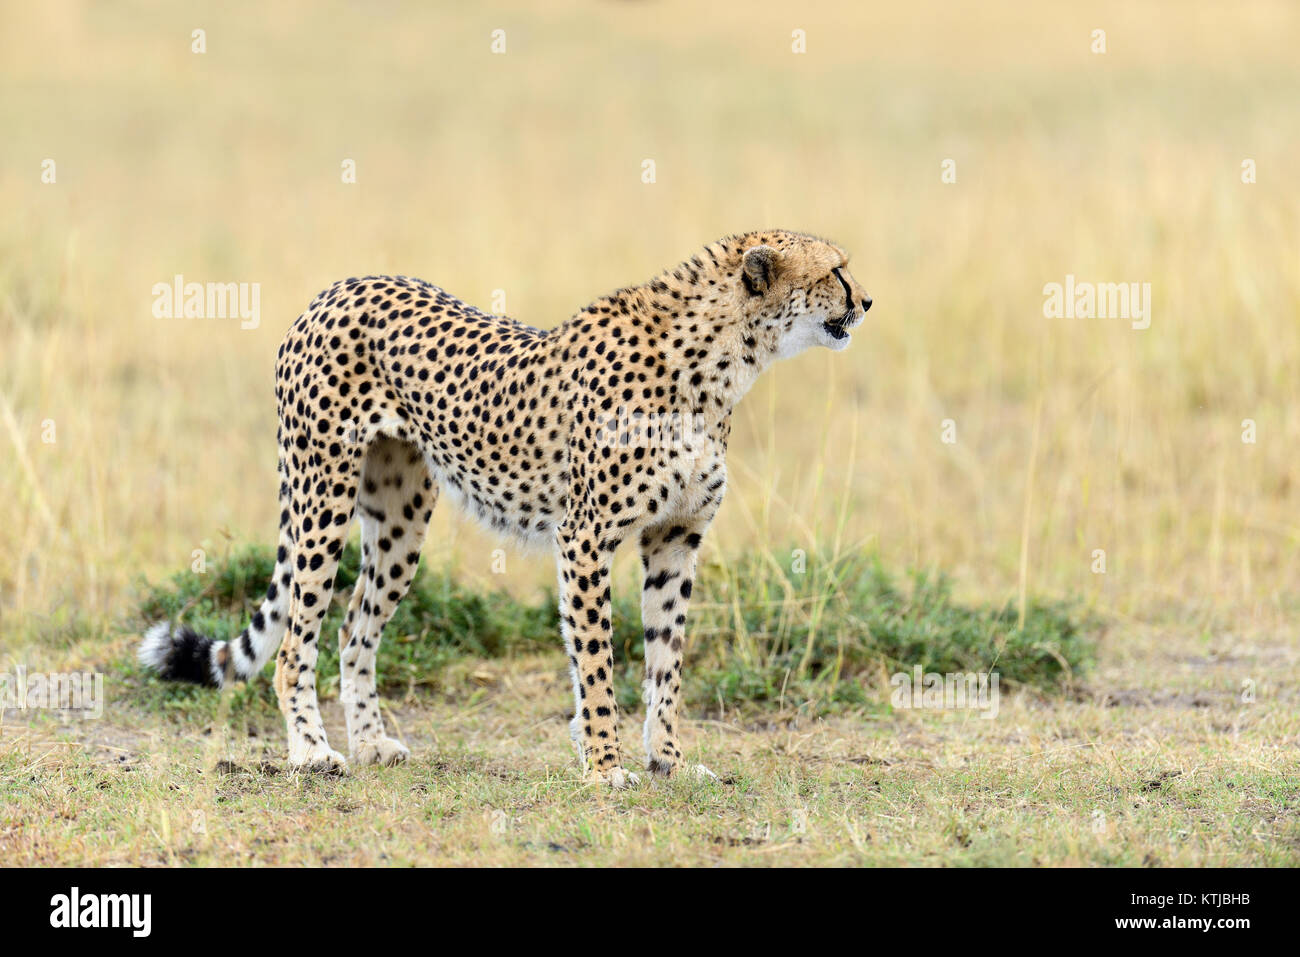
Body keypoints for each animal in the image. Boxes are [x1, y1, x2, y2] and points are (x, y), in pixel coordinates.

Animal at [139, 229, 872, 787]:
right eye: (834, 269)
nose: (867, 300)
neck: (720, 364)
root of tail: (338, 286)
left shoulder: (675, 536)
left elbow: (667, 662)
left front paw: (669, 761)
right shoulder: (585, 538)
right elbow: (597, 663)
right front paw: (604, 767)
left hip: (402, 517)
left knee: (354, 628)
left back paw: (371, 743)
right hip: (321, 493)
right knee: (296, 640)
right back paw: (314, 753)